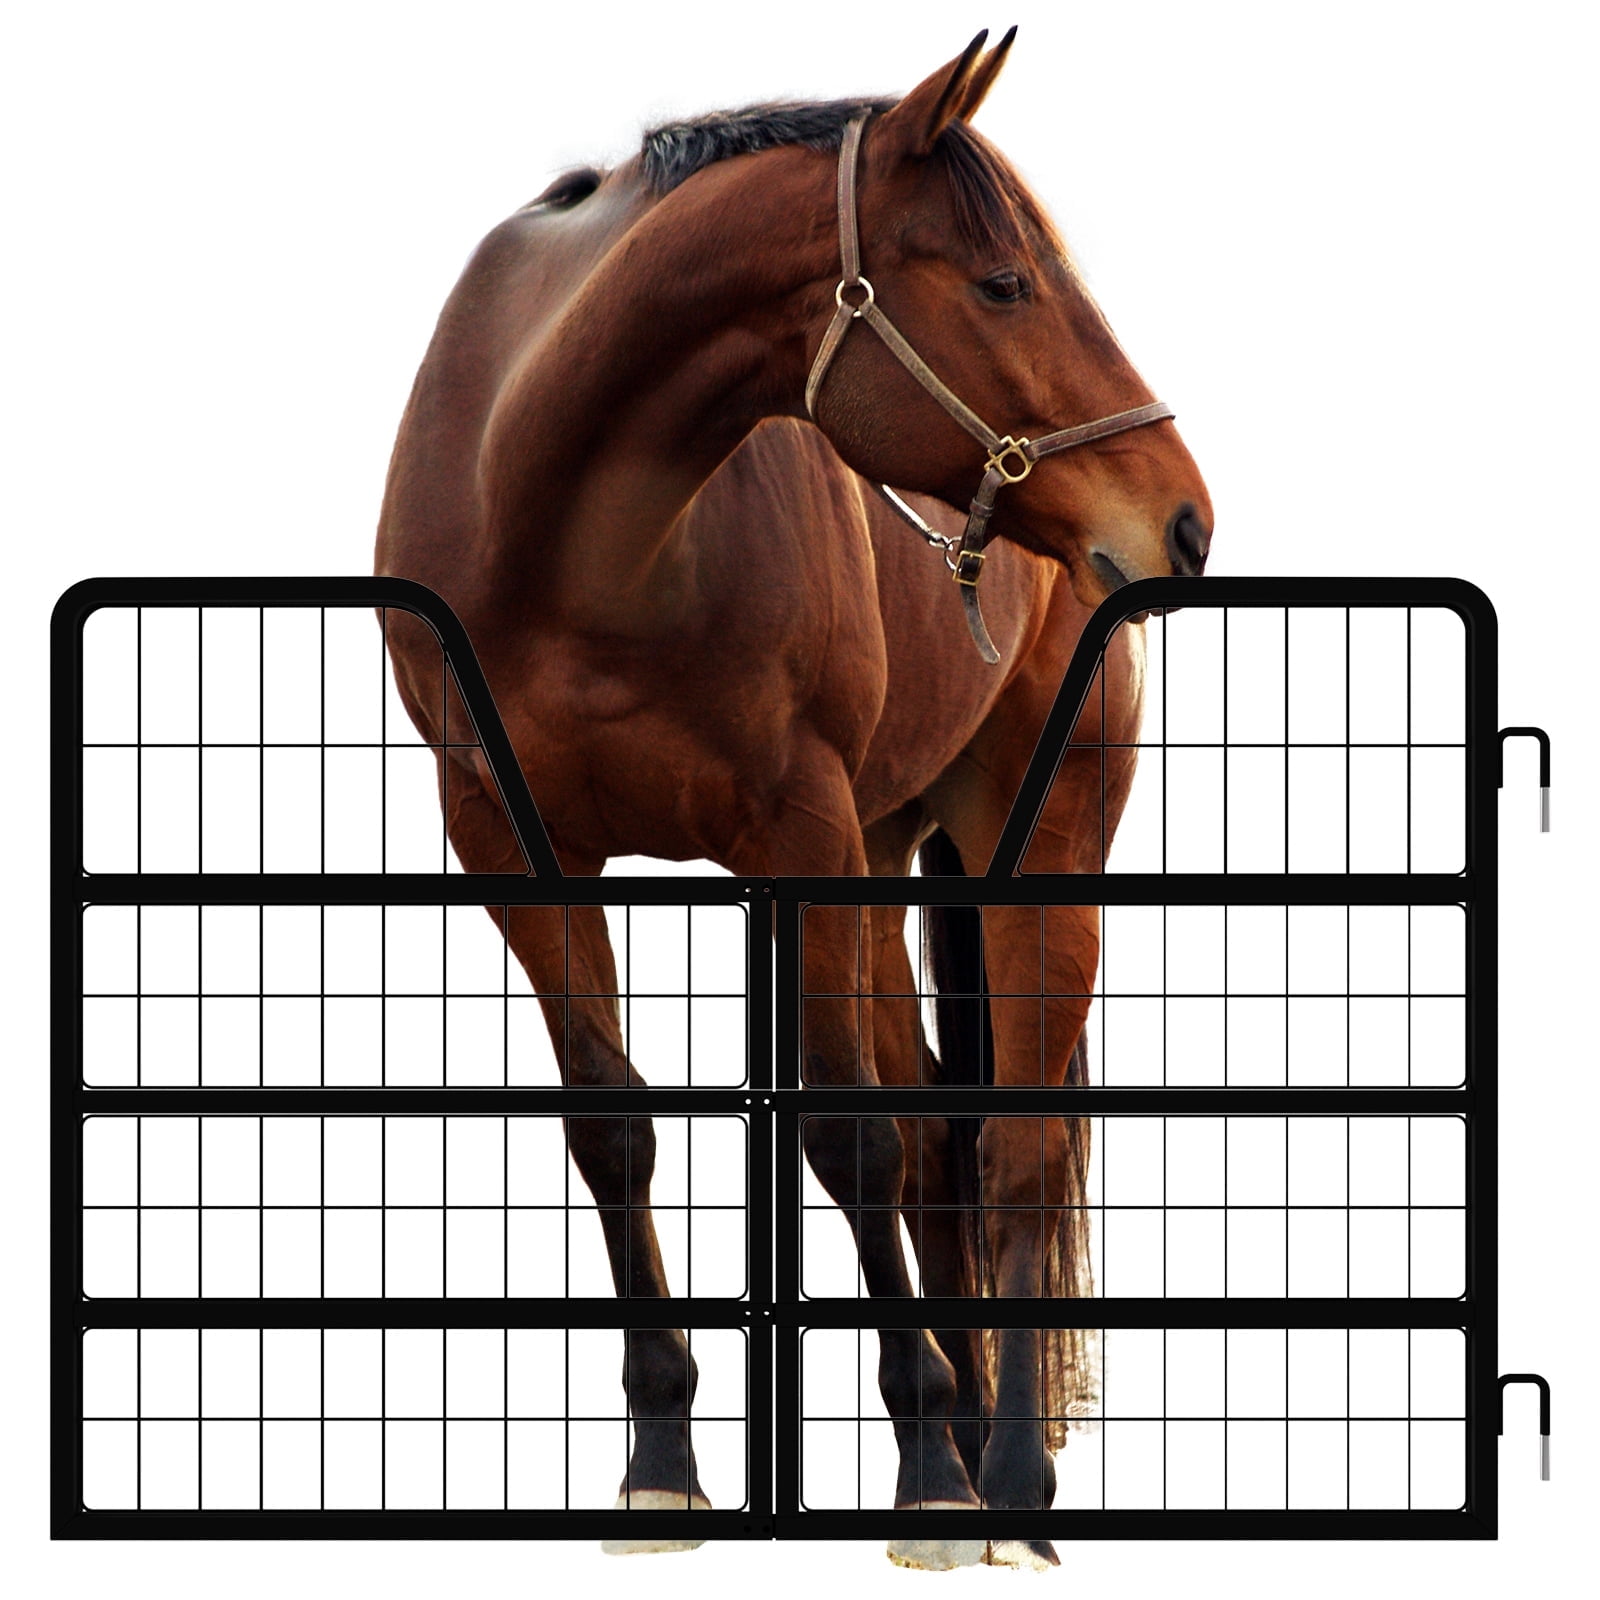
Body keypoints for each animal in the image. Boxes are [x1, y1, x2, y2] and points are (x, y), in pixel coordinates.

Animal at [376, 29, 1212, 1568]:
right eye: (1003, 282)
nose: (1183, 518)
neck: (572, 535)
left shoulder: (797, 833)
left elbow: (846, 1138)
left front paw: (932, 1480)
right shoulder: (519, 852)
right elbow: (614, 1129)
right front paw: (661, 1468)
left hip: (1037, 842)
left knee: (1014, 1140)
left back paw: (1006, 1484)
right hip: (886, 862)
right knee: (947, 1127)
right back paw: (967, 1447)